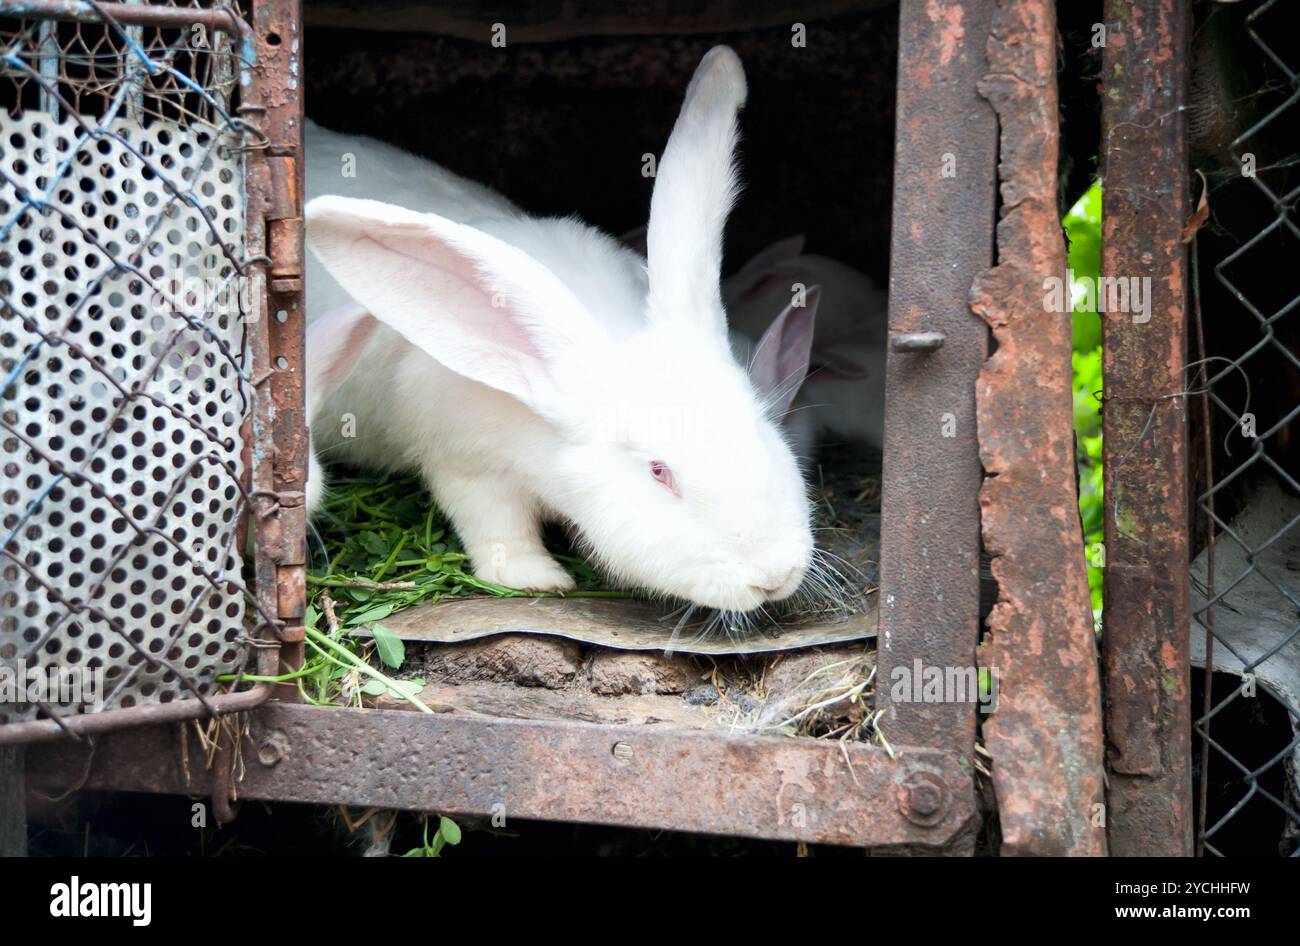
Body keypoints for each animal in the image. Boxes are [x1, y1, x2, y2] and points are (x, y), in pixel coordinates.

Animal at [302, 46, 819, 613]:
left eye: (762, 426)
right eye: (659, 471)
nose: (773, 576)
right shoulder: (465, 463)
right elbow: (495, 527)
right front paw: (537, 578)